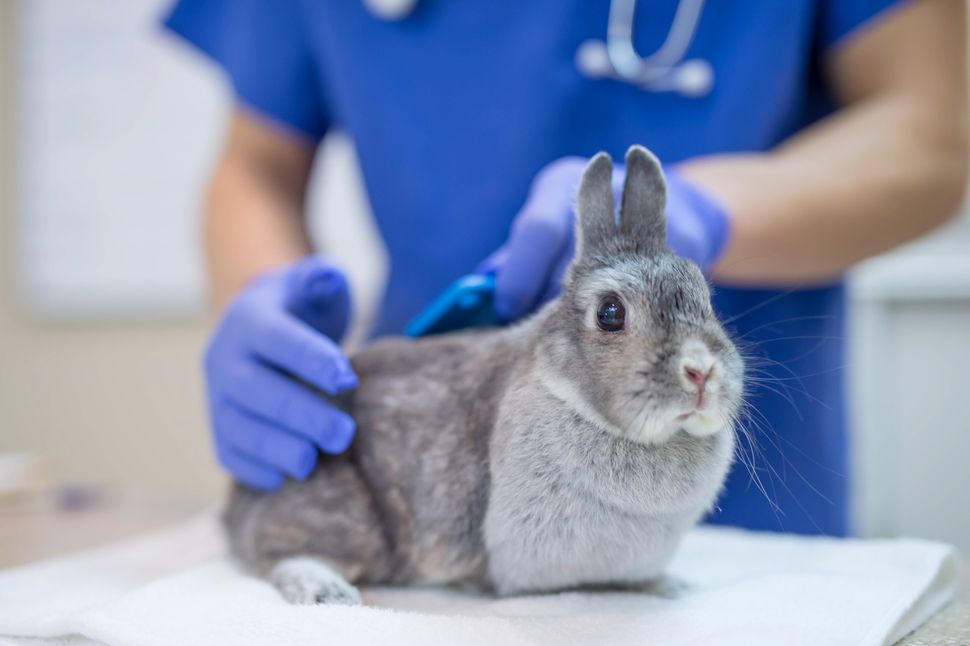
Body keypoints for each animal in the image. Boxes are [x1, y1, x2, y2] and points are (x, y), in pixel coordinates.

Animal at [223, 145, 744, 605]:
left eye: (706, 299)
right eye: (610, 313)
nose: (701, 372)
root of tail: (237, 506)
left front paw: (669, 585)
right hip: (346, 516)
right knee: (278, 554)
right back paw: (325, 590)